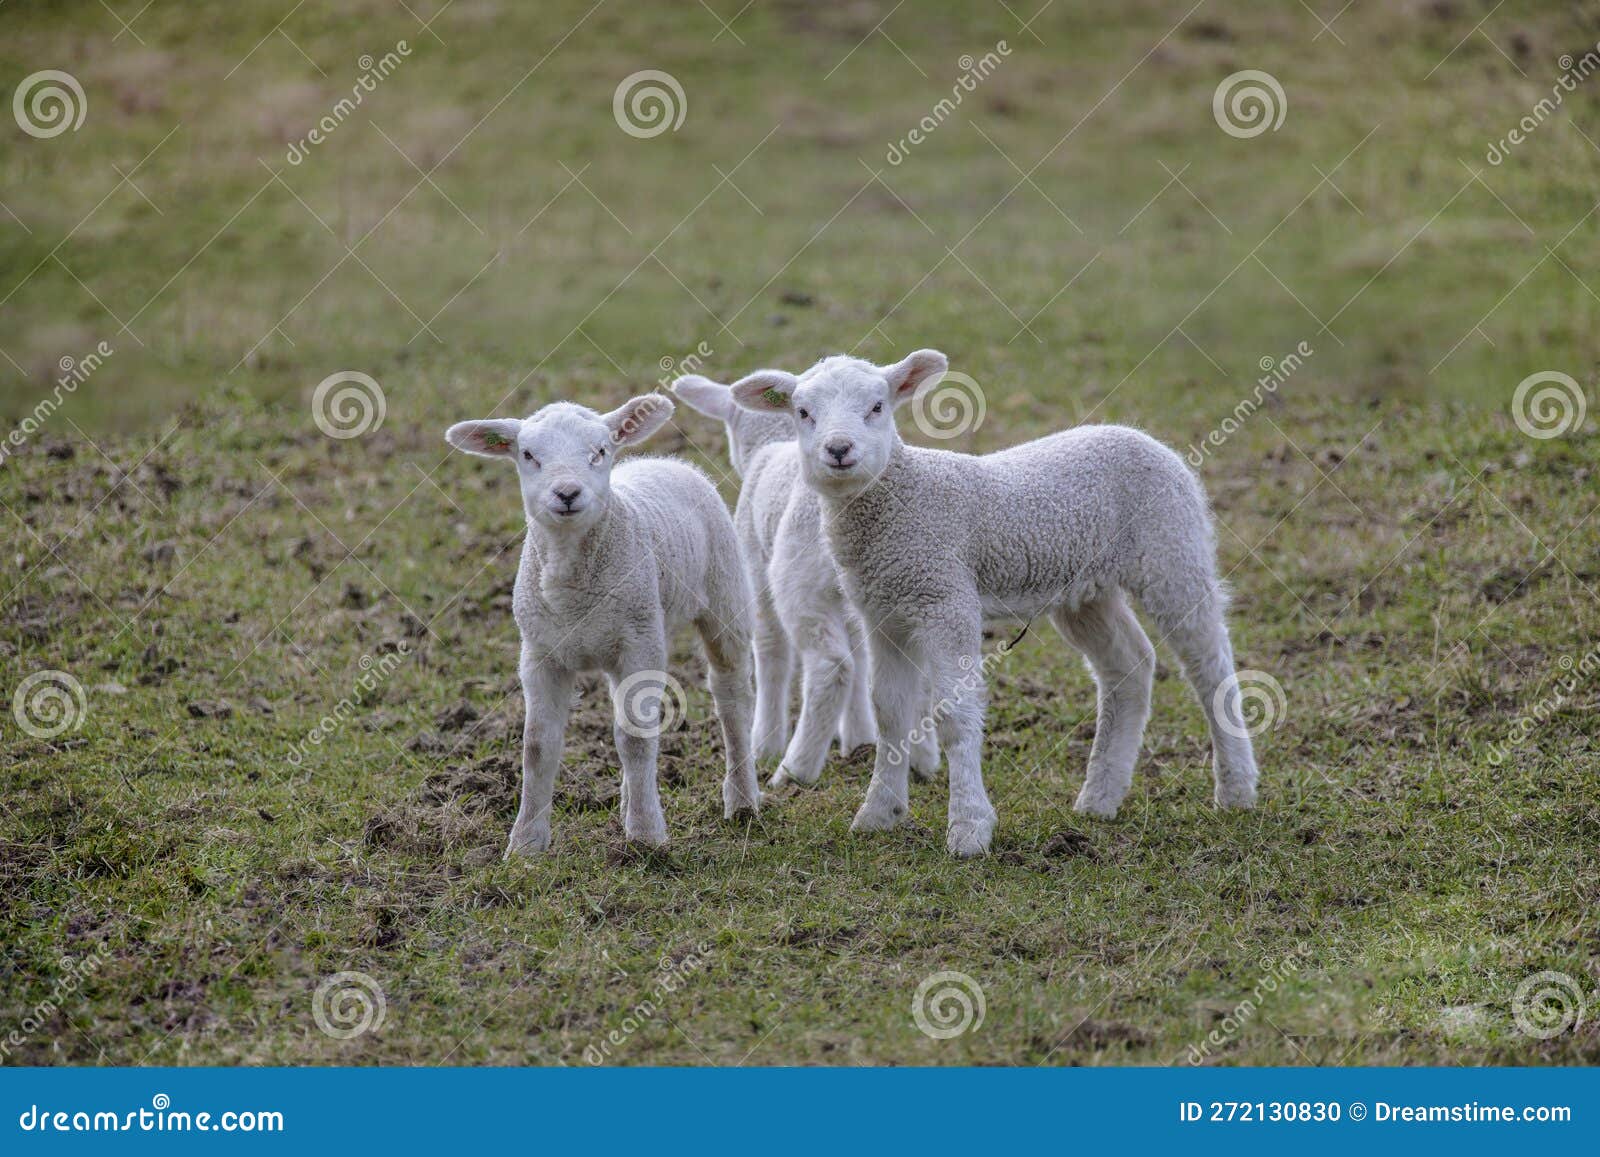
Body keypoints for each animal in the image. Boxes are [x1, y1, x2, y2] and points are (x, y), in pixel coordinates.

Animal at [445, 394, 762, 855]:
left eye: (599, 451)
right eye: (528, 455)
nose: (567, 493)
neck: (571, 585)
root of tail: (663, 460)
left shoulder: (641, 645)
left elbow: (636, 739)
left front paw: (646, 836)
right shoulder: (539, 653)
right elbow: (537, 746)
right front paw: (525, 844)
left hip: (725, 596)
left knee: (732, 696)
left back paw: (741, 800)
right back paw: (630, 800)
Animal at [673, 373, 941, 789]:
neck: (772, 442)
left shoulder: (756, 569)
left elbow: (771, 652)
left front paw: (765, 742)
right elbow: (862, 659)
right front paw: (859, 737)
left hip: (797, 580)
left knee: (830, 667)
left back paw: (793, 770)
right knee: (914, 673)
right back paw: (923, 759)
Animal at [729, 351, 1259, 858]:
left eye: (877, 406)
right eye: (803, 412)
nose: (839, 450)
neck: (899, 500)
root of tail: (1142, 437)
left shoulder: (946, 599)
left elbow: (953, 713)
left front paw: (969, 828)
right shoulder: (886, 615)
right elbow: (890, 713)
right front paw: (879, 813)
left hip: (1173, 552)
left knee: (1209, 664)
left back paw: (1236, 789)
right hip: (1086, 591)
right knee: (1128, 666)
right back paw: (1099, 799)